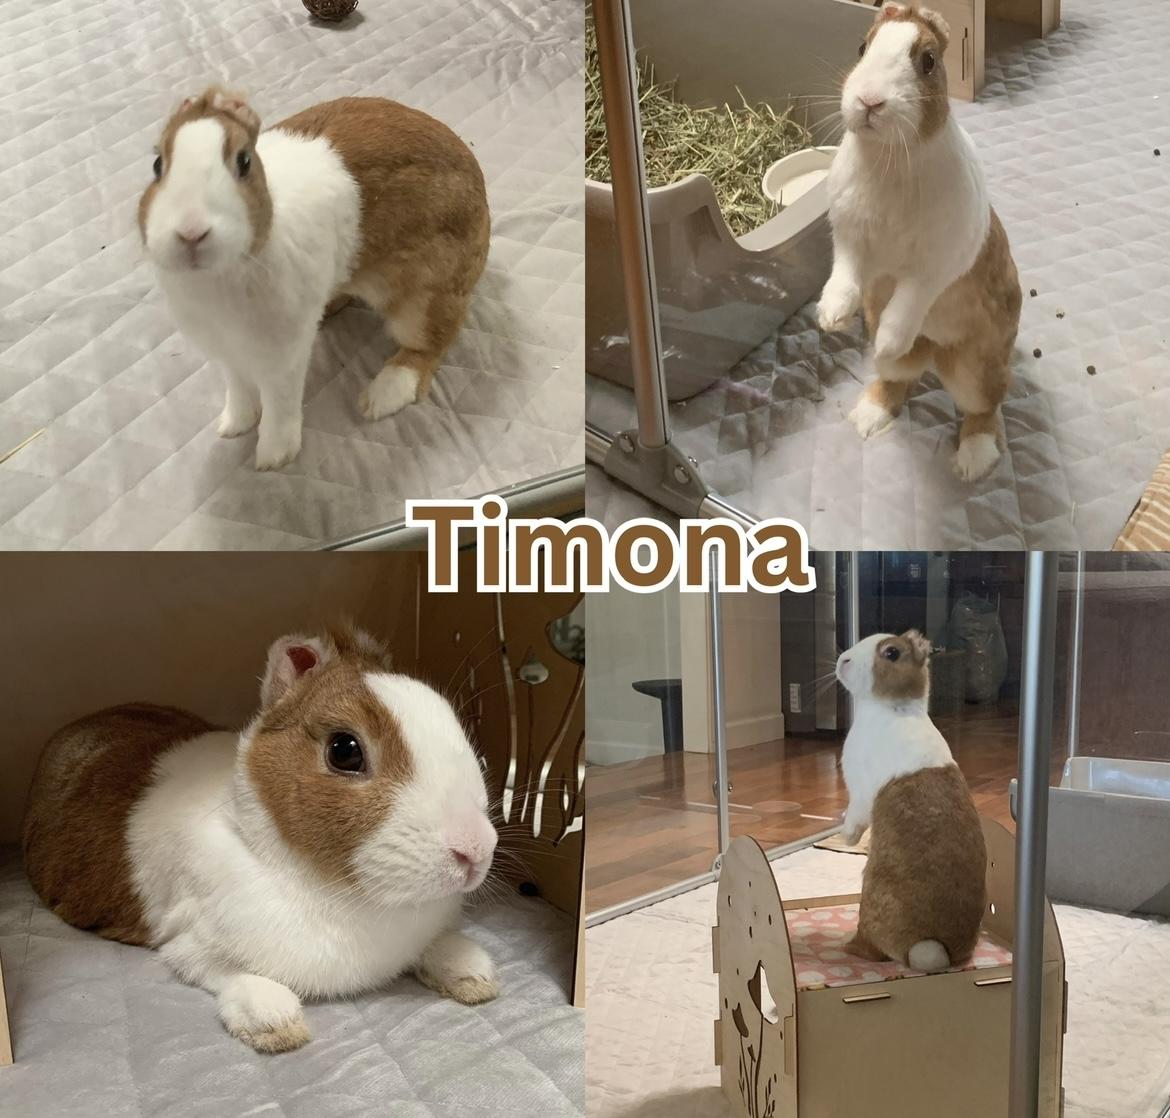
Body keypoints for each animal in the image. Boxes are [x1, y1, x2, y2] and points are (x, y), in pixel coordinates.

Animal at [22, 625, 500, 1053]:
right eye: (344, 751)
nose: (476, 850)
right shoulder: (187, 942)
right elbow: (229, 973)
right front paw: (275, 1023)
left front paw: (473, 972)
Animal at [138, 87, 490, 470]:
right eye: (157, 165)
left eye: (244, 162)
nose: (191, 232)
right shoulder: (228, 352)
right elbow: (240, 389)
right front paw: (234, 424)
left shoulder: (283, 357)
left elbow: (280, 403)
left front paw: (273, 457)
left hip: (424, 299)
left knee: (431, 343)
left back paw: (383, 394)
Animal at [818, 4, 1022, 482]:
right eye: (862, 47)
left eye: (927, 61)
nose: (869, 101)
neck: (889, 156)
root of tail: (932, 350)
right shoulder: (849, 239)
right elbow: (845, 275)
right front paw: (831, 317)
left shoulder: (935, 265)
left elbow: (910, 298)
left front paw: (891, 337)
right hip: (907, 367)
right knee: (897, 379)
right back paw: (869, 414)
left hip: (977, 368)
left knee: (984, 407)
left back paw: (973, 461)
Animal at [835, 630, 987, 973]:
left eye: (891, 653)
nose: (843, 660)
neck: (895, 707)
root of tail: (933, 947)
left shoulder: (859, 791)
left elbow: (855, 815)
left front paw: (846, 838)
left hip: (871, 897)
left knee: (871, 947)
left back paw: (847, 947)